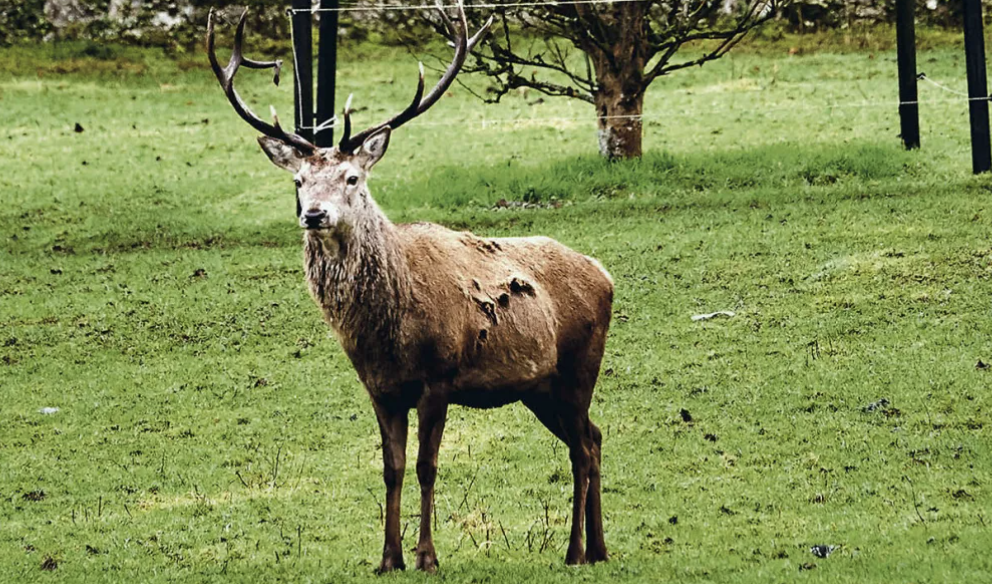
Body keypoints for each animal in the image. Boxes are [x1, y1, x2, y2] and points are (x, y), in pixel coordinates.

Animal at [207, 4, 613, 573]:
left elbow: (426, 465)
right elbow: (391, 468)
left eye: (353, 178)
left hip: (579, 367)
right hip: (539, 387)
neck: (387, 330)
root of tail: (604, 273)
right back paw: (598, 547)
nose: (314, 214)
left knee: (581, 447)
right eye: (298, 181)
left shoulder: (439, 376)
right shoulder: (380, 387)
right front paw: (387, 557)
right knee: (593, 438)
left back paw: (575, 551)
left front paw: (426, 556)